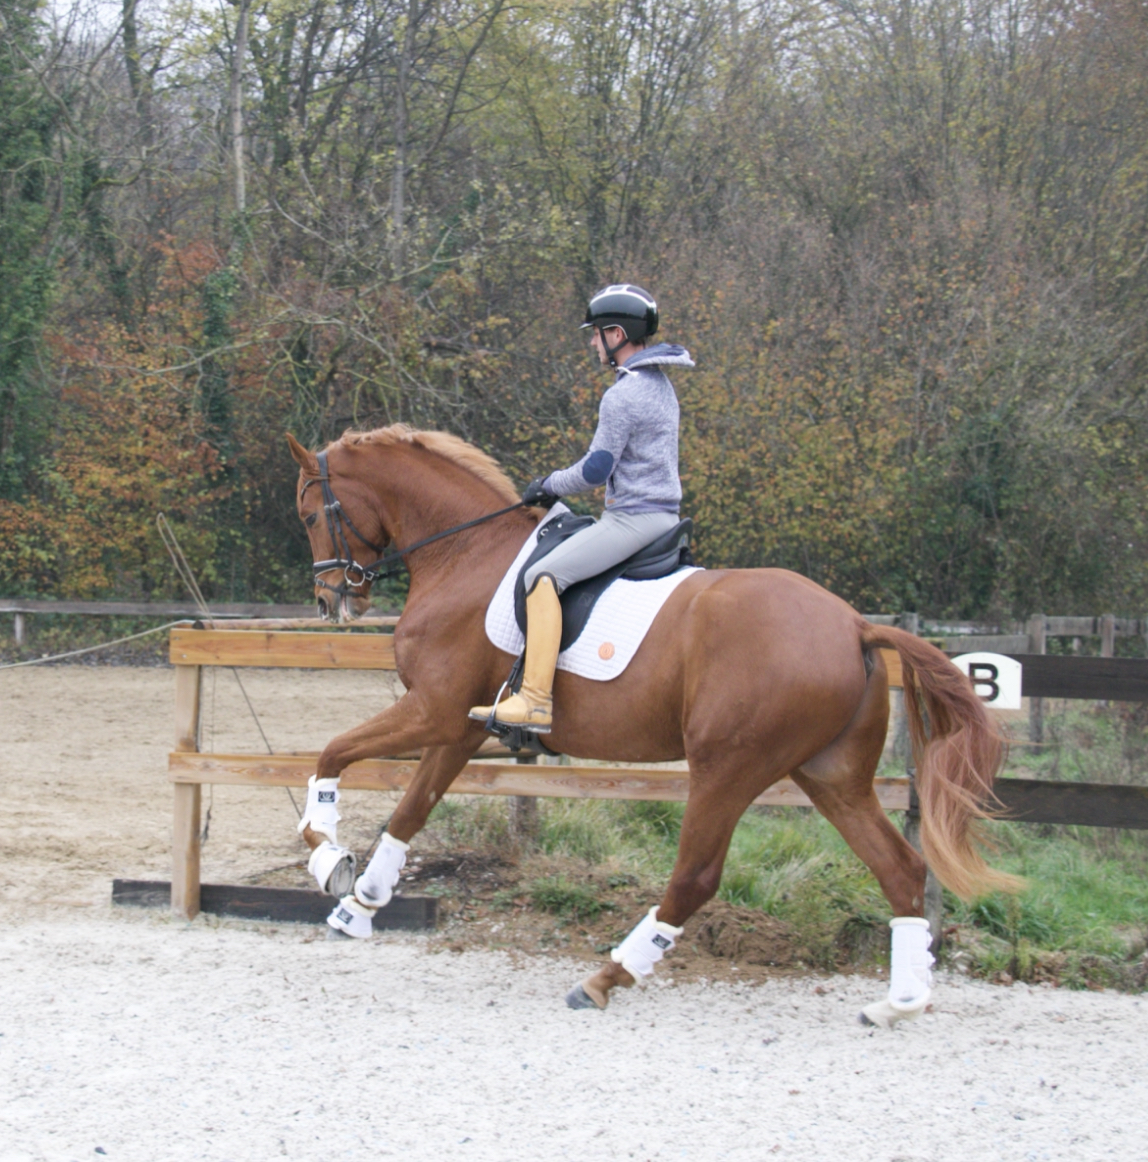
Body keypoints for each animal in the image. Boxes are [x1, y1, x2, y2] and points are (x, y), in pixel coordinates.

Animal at [286, 424, 1018, 1024]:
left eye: (310, 514)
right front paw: (361, 900)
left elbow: (331, 755)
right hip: (831, 775)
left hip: (728, 767)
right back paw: (901, 1001)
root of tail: (855, 626)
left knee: (695, 878)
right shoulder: (461, 727)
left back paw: (606, 976)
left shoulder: (435, 709)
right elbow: (410, 809)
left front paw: (328, 858)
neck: (466, 552)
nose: (331, 599)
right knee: (901, 869)